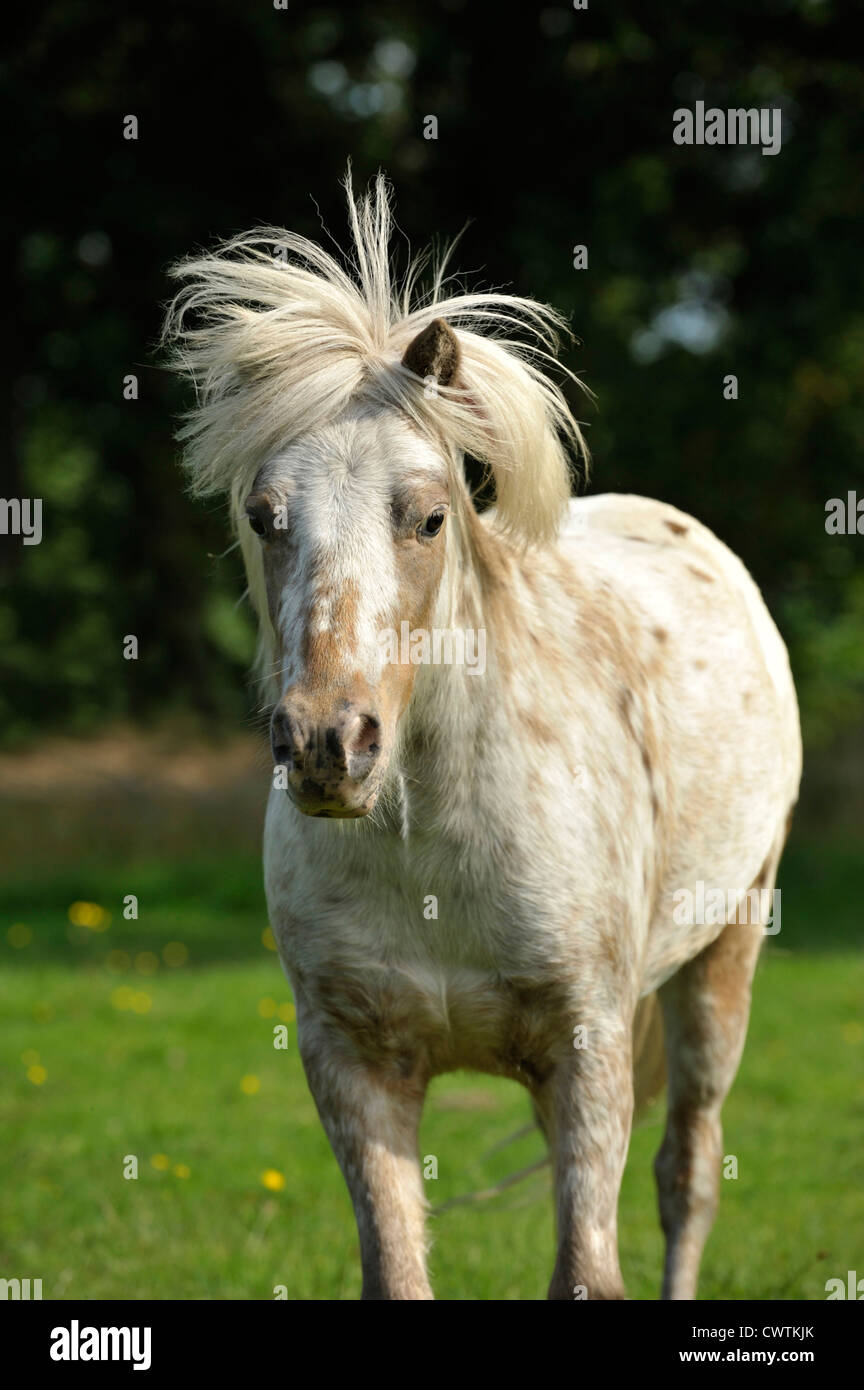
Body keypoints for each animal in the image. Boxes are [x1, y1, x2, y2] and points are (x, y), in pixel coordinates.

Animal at [163, 173, 802, 1300]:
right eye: (264, 516)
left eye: (427, 517)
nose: (328, 744)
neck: (435, 843)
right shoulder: (353, 1062)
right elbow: (399, 1269)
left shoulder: (587, 1050)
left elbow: (592, 1265)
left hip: (726, 949)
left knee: (688, 1171)